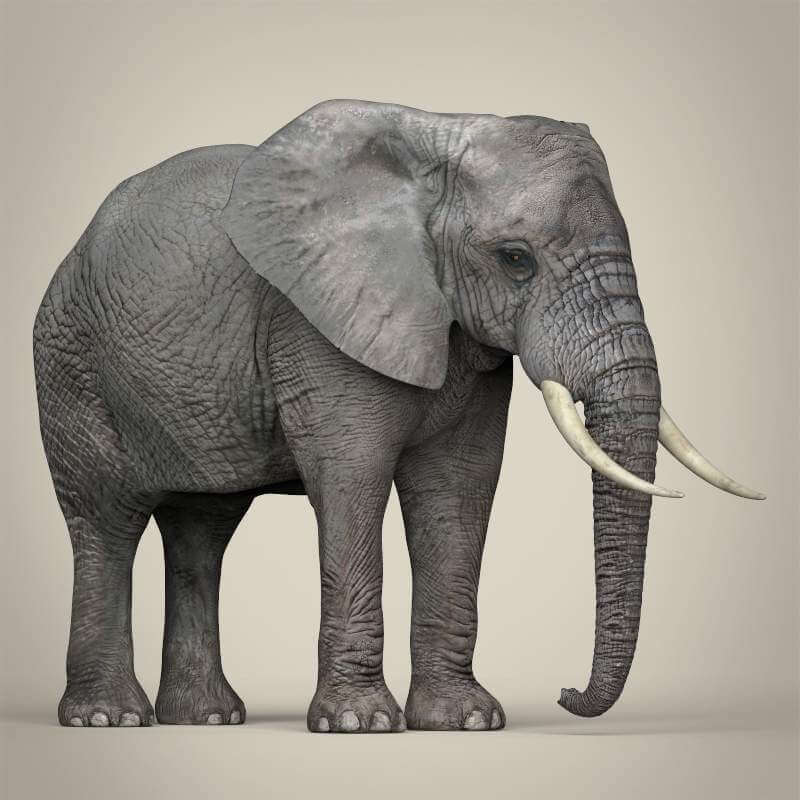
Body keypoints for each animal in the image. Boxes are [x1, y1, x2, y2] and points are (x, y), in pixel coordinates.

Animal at [33, 99, 764, 732]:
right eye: (515, 259)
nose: (566, 693)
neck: (433, 149)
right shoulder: (316, 325)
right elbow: (352, 478)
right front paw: (359, 725)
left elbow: (458, 490)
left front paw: (465, 722)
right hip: (70, 366)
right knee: (107, 519)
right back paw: (109, 717)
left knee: (201, 529)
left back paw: (207, 718)